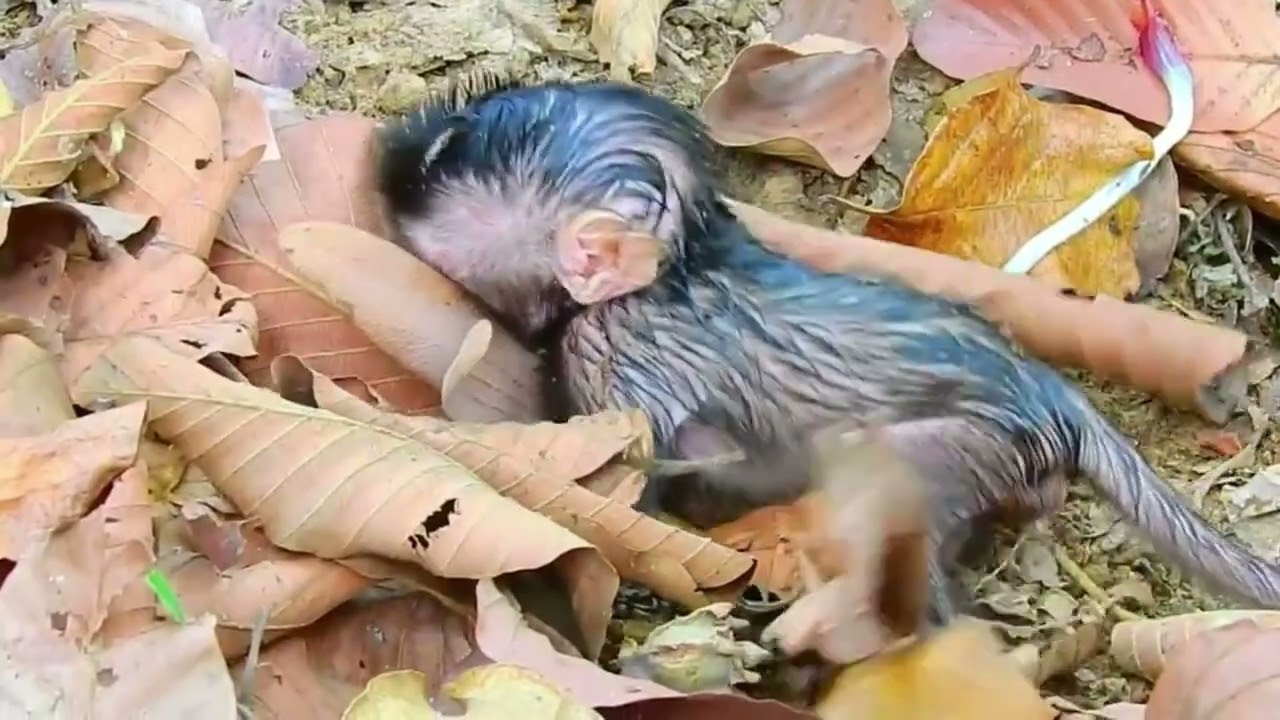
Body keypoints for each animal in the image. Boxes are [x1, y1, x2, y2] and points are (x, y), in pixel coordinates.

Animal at [371, 77, 1280, 623]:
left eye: (445, 153)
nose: (386, 147)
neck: (677, 265)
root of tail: (1048, 392)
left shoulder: (618, 362)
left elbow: (637, 488)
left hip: (950, 450)